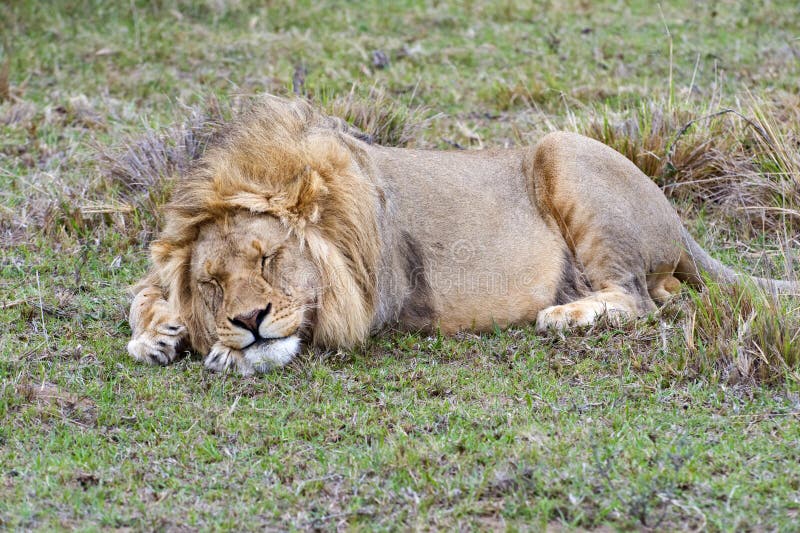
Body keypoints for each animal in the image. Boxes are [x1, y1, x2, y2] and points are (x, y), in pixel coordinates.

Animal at [126, 95, 796, 375]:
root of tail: (677, 219)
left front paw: (221, 349)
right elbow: (142, 291)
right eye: (213, 283)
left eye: (269, 258)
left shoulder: (372, 298)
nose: (248, 320)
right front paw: (157, 333)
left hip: (562, 150)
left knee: (640, 300)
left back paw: (567, 314)